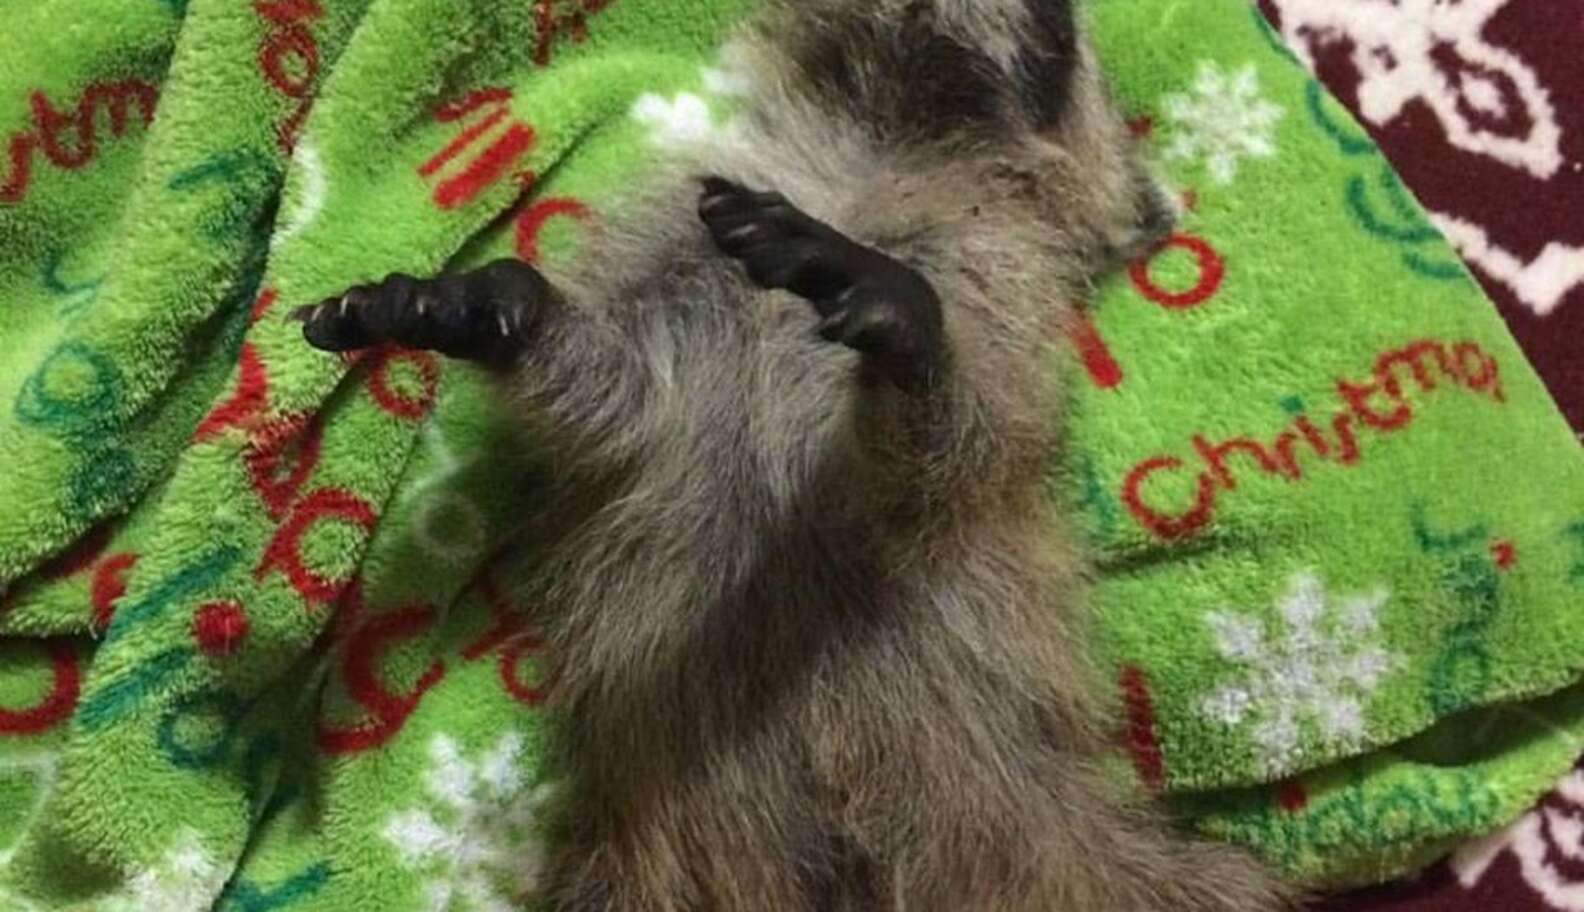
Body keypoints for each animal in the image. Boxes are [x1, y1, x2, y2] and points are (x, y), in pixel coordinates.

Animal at [295, 1, 1291, 908]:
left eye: (1056, 26)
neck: (887, 138)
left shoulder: (1000, 301)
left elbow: (953, 455)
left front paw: (911, 330)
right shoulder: (675, 255)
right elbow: (613, 396)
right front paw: (502, 309)